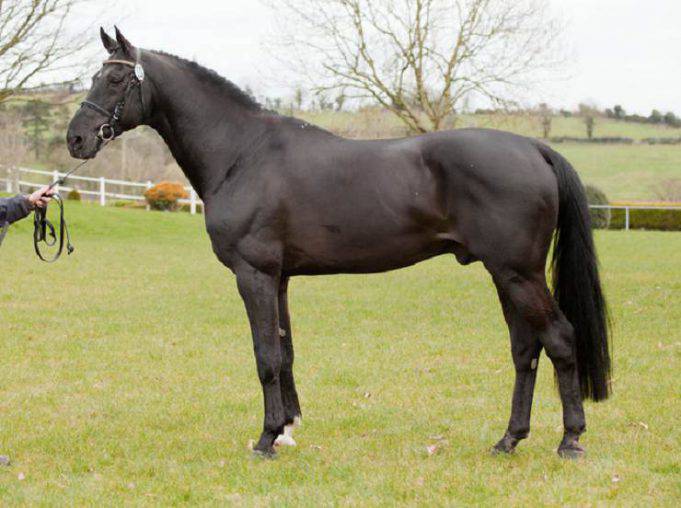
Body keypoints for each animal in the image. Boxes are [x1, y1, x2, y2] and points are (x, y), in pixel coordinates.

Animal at [67, 28, 611, 458]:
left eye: (114, 80)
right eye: (96, 76)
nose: (76, 139)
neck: (242, 153)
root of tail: (534, 148)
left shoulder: (254, 274)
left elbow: (264, 356)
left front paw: (265, 440)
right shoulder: (279, 278)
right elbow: (284, 352)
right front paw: (287, 429)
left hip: (518, 273)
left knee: (559, 339)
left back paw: (570, 440)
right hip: (504, 274)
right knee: (525, 349)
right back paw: (509, 439)